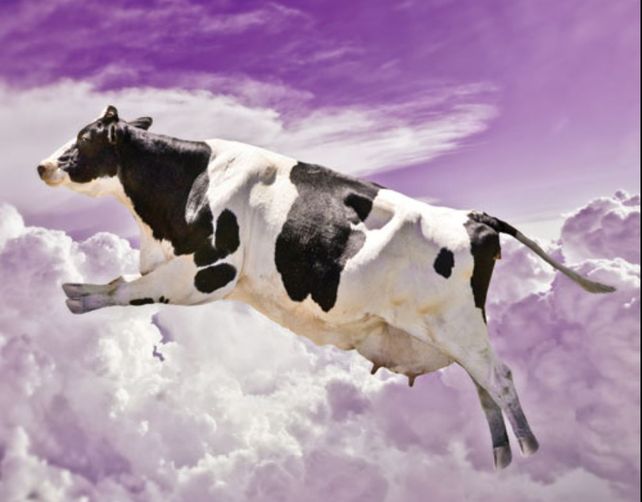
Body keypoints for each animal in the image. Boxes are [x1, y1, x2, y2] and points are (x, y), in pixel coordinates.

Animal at [37, 106, 615, 470]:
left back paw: (530, 451)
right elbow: (123, 280)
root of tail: (475, 216)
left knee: (501, 379)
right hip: (453, 333)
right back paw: (499, 459)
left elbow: (123, 289)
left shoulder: (207, 272)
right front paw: (75, 287)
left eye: (85, 137)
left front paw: (75, 295)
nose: (42, 164)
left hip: (461, 325)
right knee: (483, 386)